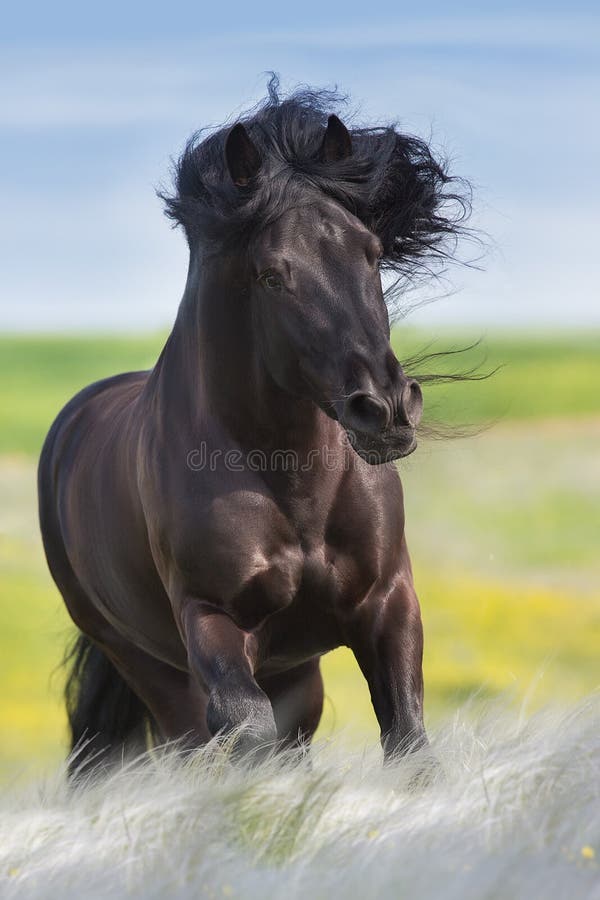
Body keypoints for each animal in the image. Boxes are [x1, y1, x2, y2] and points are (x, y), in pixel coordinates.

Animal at [38, 81, 468, 775]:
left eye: (373, 253)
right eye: (271, 274)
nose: (386, 409)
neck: (293, 485)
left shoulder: (387, 605)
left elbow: (409, 743)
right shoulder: (213, 618)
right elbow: (248, 733)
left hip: (294, 669)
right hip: (144, 660)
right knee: (194, 741)